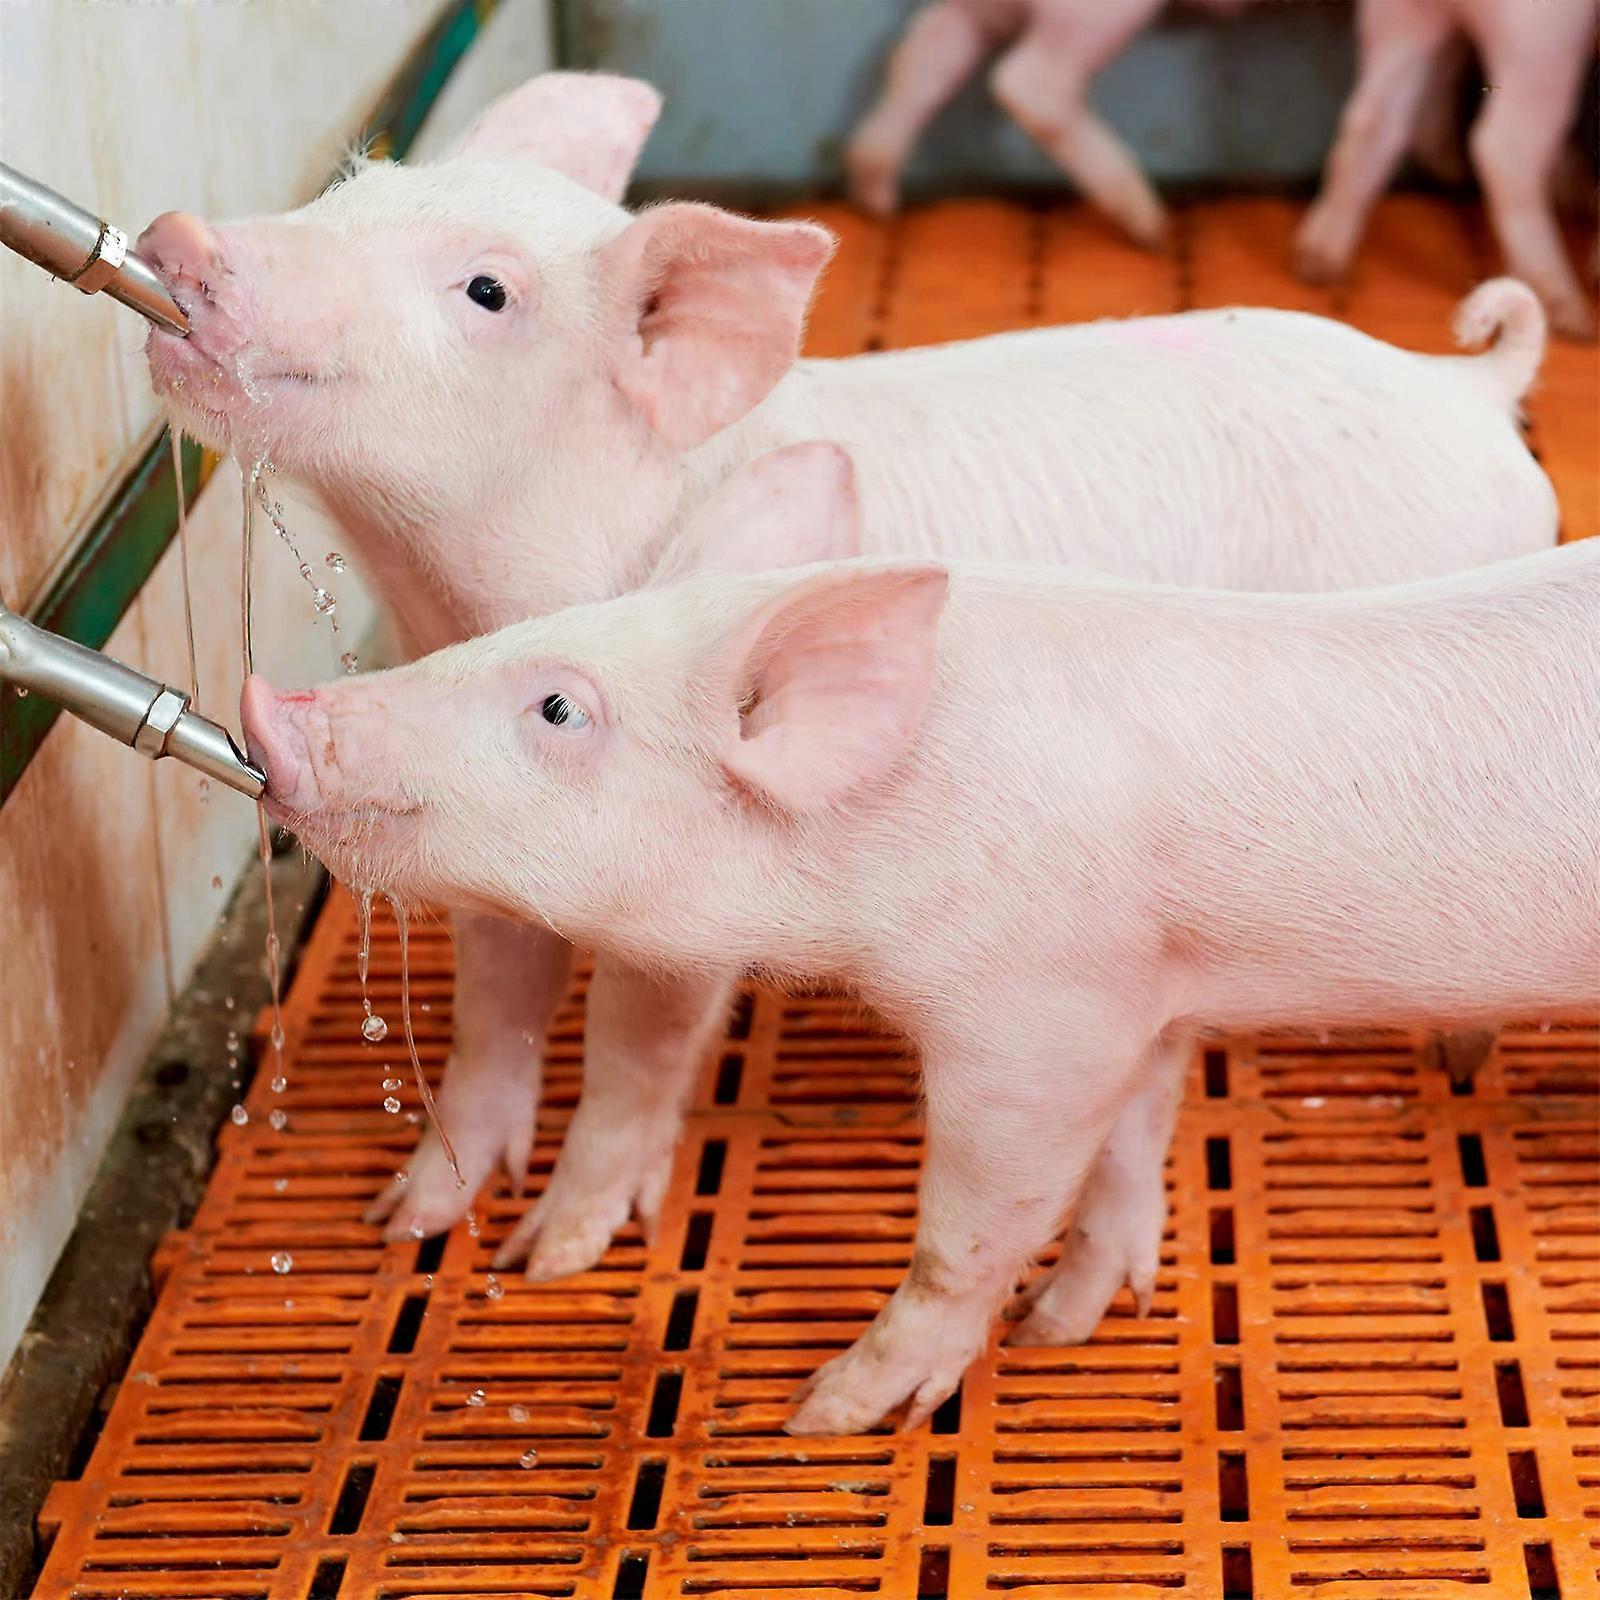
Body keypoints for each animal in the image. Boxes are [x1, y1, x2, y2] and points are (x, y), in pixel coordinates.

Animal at [138, 71, 1558, 1308]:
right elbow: (496, 996)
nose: (179, 233)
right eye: (352, 187)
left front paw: (553, 1257)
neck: (459, 587)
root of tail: (1469, 386)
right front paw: (411, 1220)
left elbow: (637, 1040)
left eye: (487, 289)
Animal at [239, 449, 1600, 1434]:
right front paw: (1066, 1322)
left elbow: (971, 1225)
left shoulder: (1038, 1013)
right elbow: (1131, 1148)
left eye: (559, 706)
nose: (272, 704)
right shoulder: (1145, 982)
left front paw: (825, 1413)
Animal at [1297, 0, 1600, 340]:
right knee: (1500, 148)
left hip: (1398, 21)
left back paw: (1319, 265)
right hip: (1543, 41)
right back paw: (1572, 319)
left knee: (1370, 120)